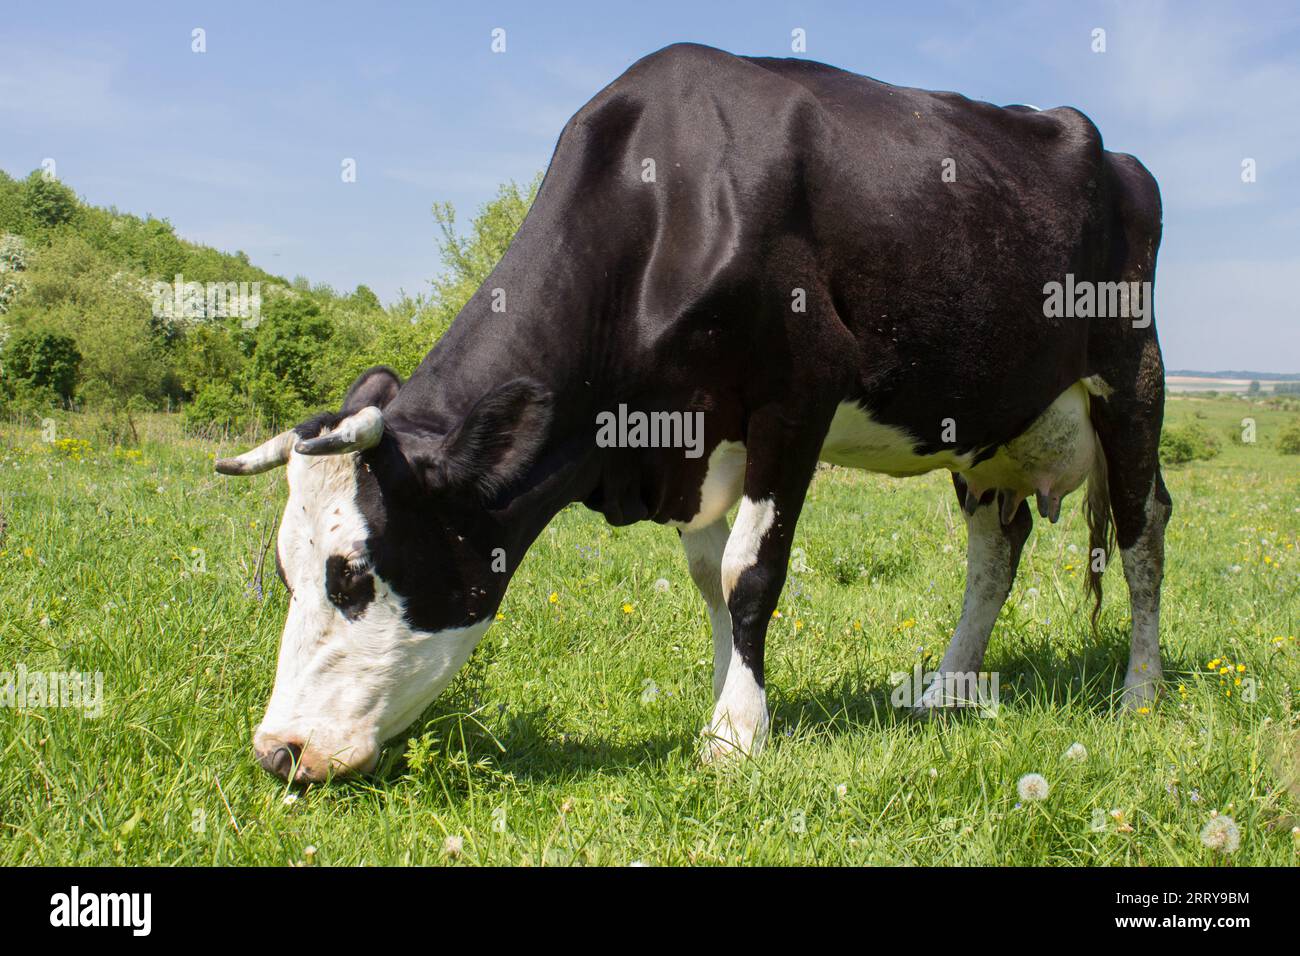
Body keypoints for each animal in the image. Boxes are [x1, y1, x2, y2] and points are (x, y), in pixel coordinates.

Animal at [216, 43, 1170, 783]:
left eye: (351, 575)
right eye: (286, 574)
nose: (277, 751)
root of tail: (1113, 154)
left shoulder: (798, 395)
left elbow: (752, 572)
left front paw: (736, 734)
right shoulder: (695, 437)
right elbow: (711, 579)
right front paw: (726, 699)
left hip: (1133, 373)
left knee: (1142, 528)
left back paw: (1141, 693)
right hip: (988, 427)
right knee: (995, 550)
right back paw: (947, 689)